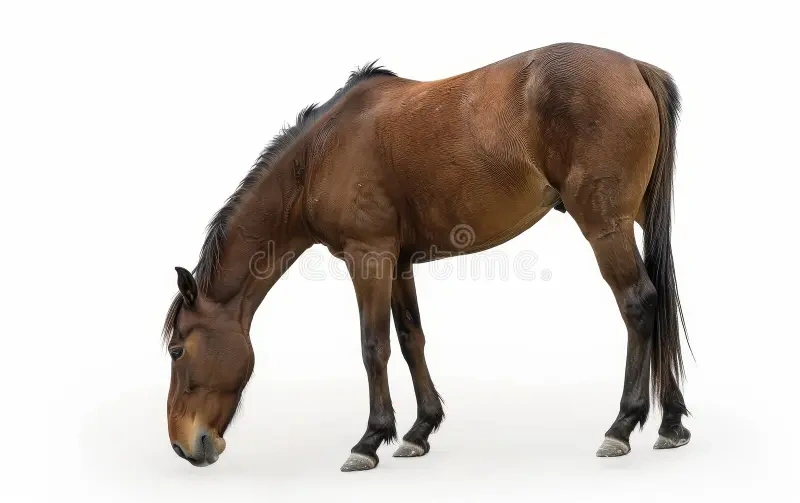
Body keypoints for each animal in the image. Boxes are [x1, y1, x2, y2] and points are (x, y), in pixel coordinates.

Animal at [162, 42, 691, 471]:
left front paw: (369, 440)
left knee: (639, 302)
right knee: (660, 299)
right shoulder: (398, 262)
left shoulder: (368, 257)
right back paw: (671, 423)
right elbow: (411, 338)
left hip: (605, 226)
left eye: (176, 349)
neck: (318, 156)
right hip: (638, 218)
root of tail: (637, 68)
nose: (183, 447)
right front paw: (419, 431)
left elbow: (373, 345)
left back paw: (622, 426)